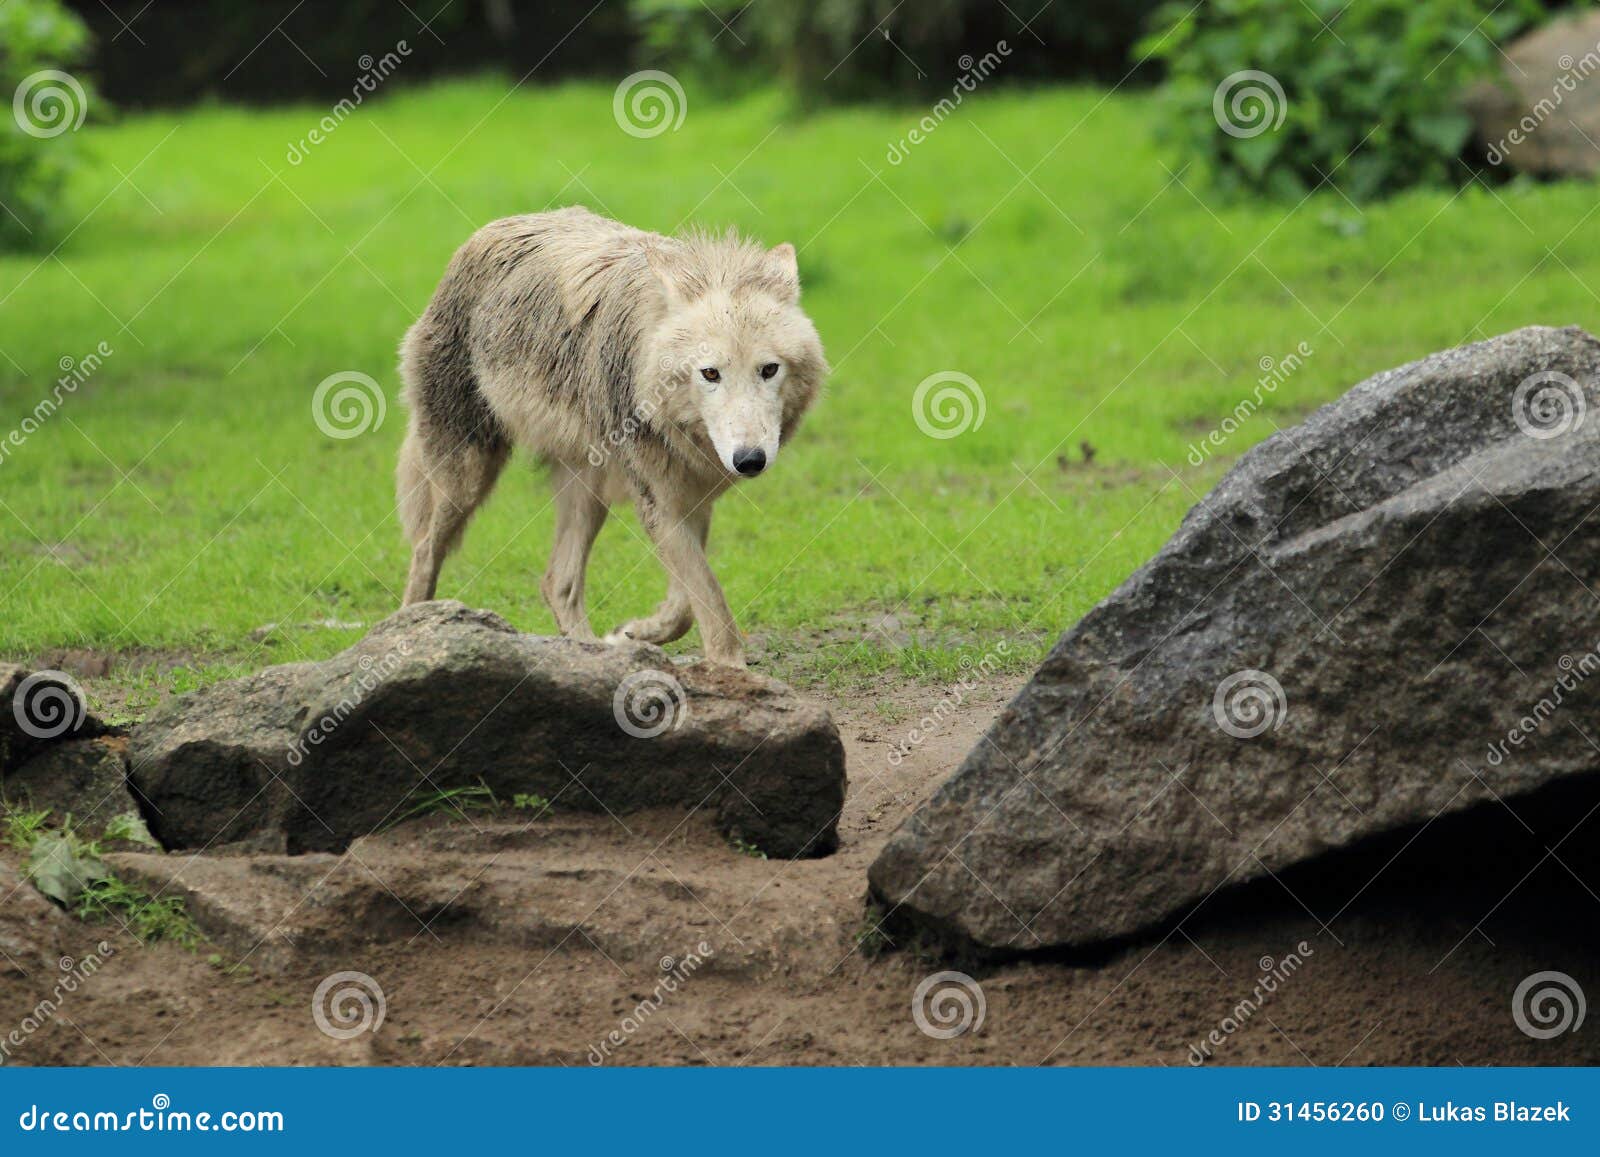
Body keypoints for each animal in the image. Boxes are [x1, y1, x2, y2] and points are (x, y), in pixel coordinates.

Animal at [396, 206, 827, 667]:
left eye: (769, 369)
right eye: (710, 373)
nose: (749, 460)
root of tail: (488, 231)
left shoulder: (690, 496)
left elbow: (685, 604)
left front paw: (633, 634)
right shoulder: (659, 502)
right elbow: (711, 603)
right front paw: (730, 670)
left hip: (588, 490)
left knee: (557, 582)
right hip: (467, 480)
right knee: (425, 550)